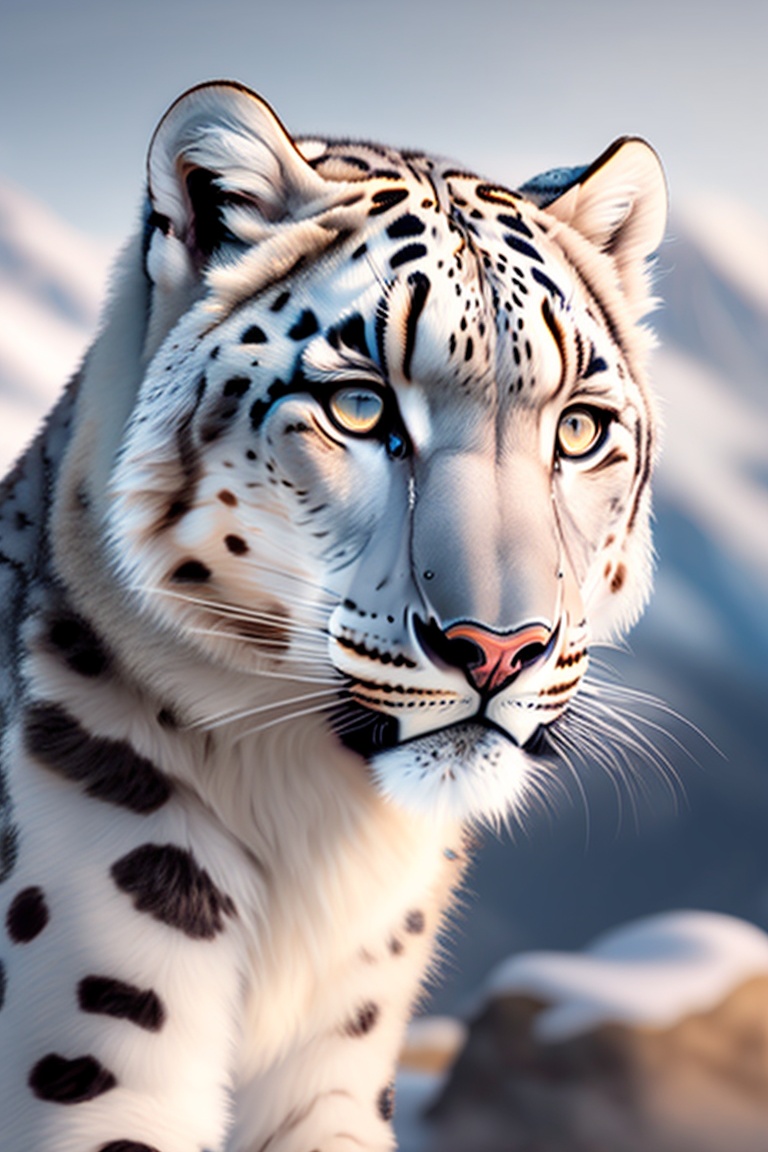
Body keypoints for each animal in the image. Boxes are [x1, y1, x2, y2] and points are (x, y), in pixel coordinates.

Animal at [0, 81, 667, 1151]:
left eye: (578, 426)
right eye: (359, 406)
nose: (501, 650)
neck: (322, 830)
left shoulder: (340, 1074)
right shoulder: (99, 1070)